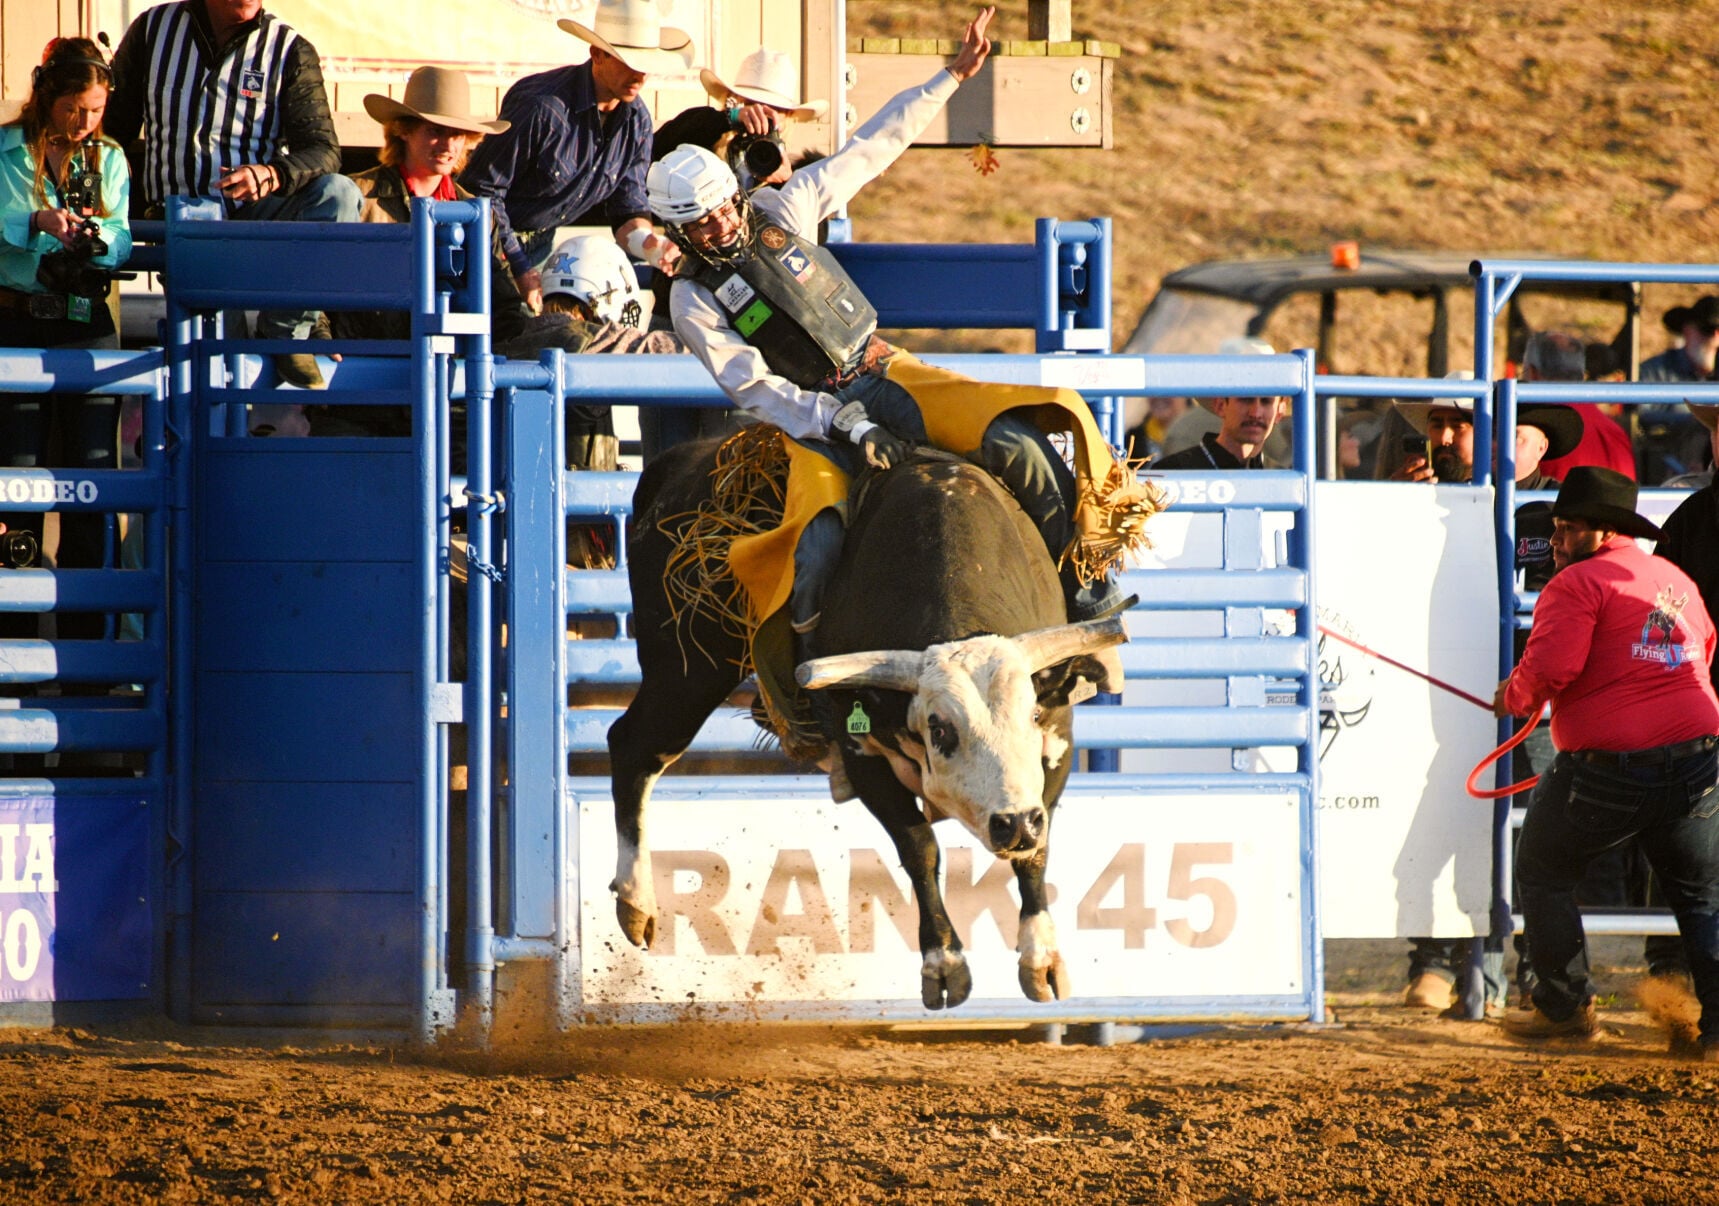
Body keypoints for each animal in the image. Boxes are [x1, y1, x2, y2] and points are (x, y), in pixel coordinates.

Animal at [607, 439, 1127, 1009]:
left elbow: (1037, 852)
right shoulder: (862, 754)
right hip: (686, 662)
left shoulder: (1057, 746)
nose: (1012, 823)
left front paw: (1042, 959)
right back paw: (636, 902)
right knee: (635, 748)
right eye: (939, 729)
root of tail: (679, 462)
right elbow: (919, 847)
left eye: (1031, 713)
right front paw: (944, 965)